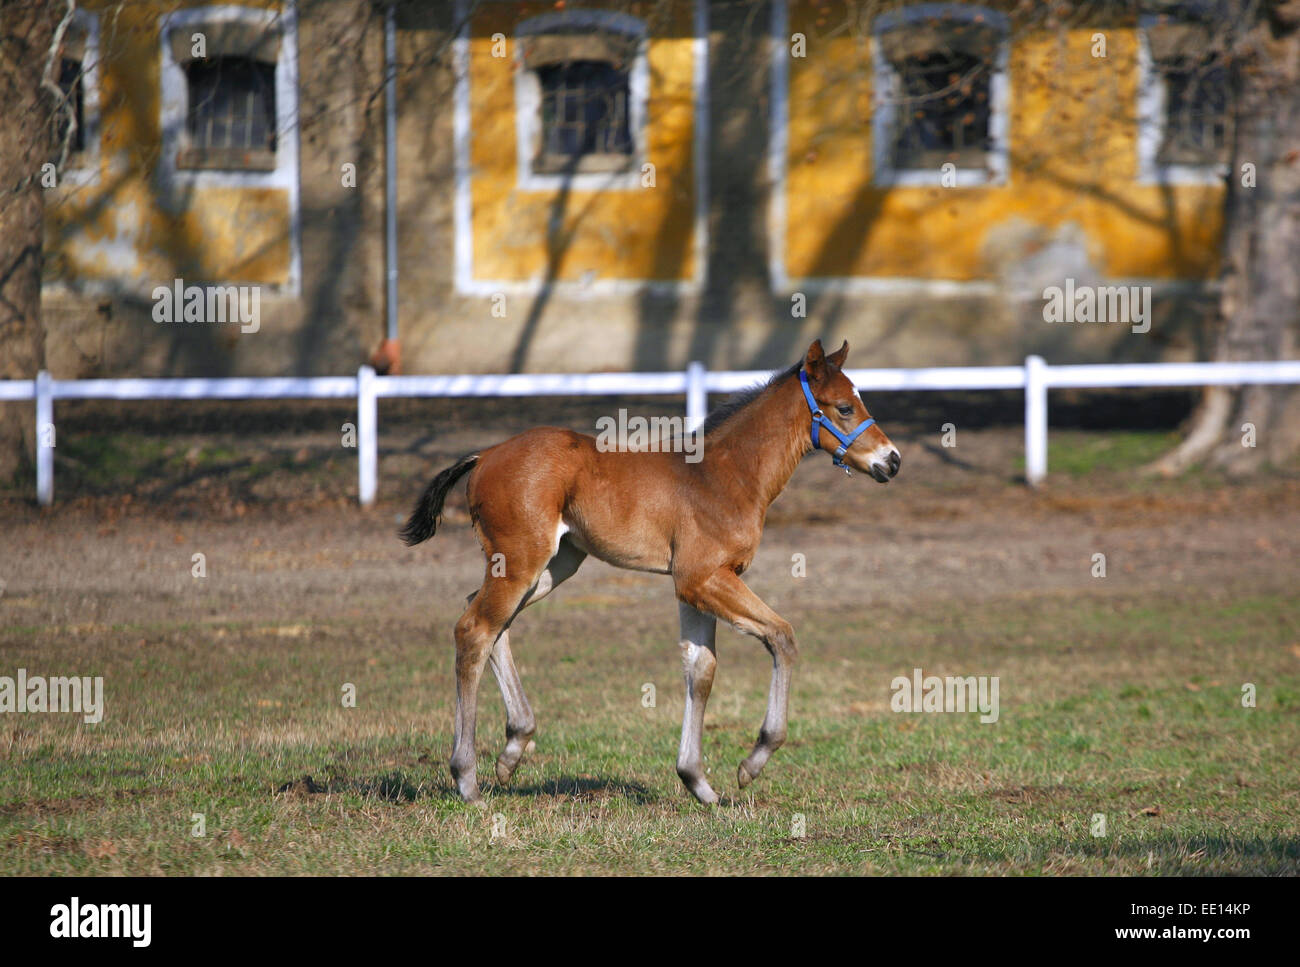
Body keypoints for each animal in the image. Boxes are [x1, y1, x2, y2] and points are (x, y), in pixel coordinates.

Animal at [401, 339, 901, 804]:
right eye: (843, 406)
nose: (892, 460)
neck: (724, 474)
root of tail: (484, 455)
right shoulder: (702, 577)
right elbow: (782, 636)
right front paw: (751, 763)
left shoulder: (695, 587)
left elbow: (701, 669)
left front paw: (698, 783)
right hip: (522, 560)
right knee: (474, 629)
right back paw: (467, 778)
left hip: (554, 565)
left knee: (488, 620)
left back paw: (512, 750)